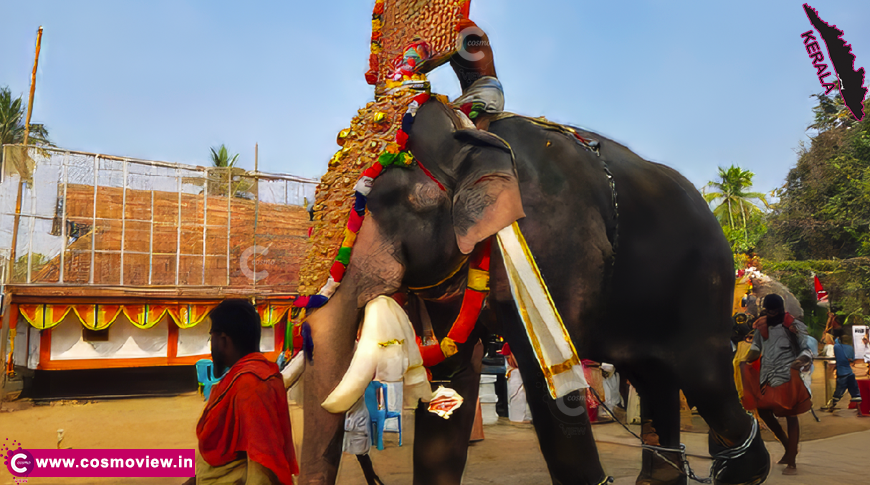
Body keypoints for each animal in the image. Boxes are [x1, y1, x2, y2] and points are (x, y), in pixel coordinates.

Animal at [296, 85, 772, 484]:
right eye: (313, 212)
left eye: (389, 201)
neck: (468, 129)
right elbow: (450, 389)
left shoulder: (557, 242)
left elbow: (551, 386)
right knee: (654, 375)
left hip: (705, 279)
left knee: (702, 373)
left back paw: (743, 469)